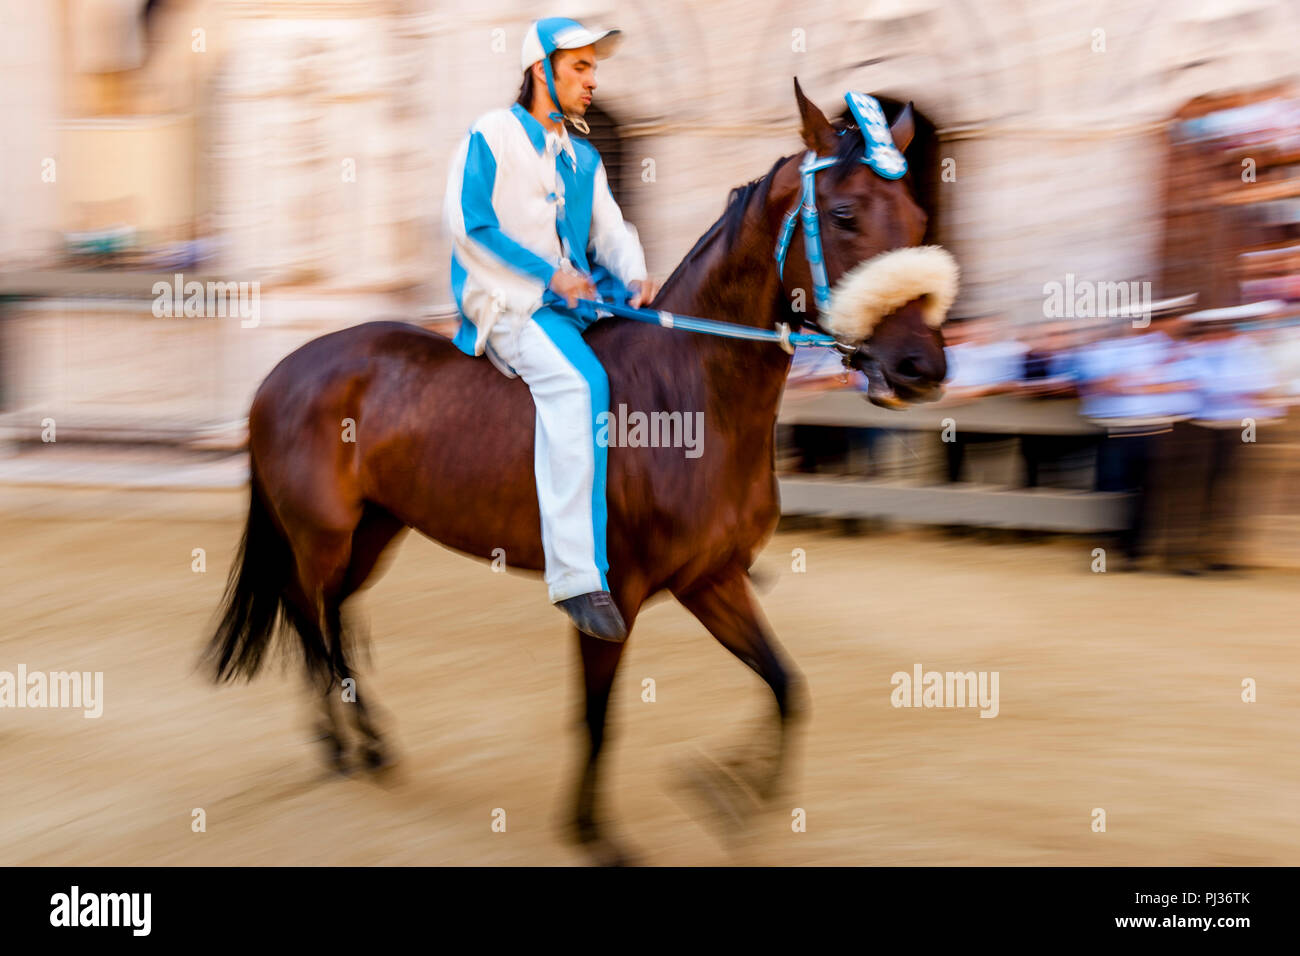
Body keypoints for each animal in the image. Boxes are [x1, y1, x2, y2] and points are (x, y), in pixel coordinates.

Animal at [205, 78, 954, 864]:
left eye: (917, 215)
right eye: (844, 214)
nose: (923, 367)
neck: (686, 397)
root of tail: (284, 372)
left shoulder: (712, 579)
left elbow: (787, 687)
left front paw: (729, 791)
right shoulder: (612, 597)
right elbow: (599, 716)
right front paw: (597, 832)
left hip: (375, 530)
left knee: (333, 613)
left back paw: (364, 741)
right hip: (321, 535)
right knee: (307, 612)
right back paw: (344, 742)